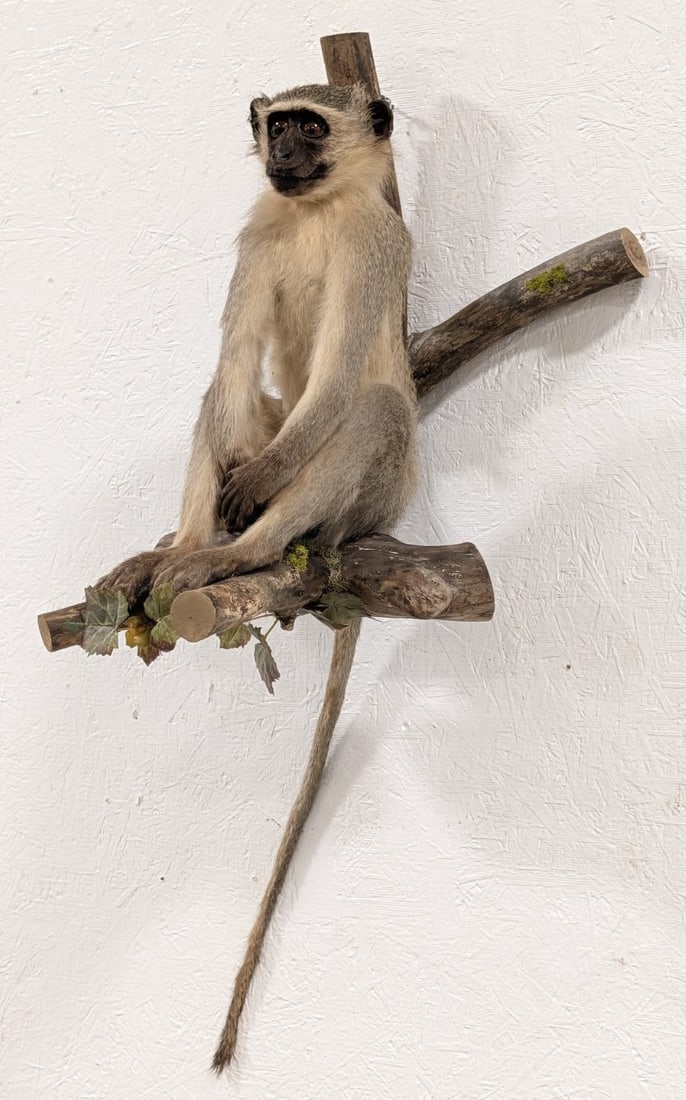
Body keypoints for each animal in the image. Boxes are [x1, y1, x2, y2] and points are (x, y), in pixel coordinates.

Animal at [97, 82, 418, 1071]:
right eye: (279, 123)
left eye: (311, 126)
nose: (282, 151)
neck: (315, 209)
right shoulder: (259, 236)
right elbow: (233, 365)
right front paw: (186, 533)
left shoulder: (375, 241)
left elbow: (340, 378)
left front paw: (257, 496)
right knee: (226, 394)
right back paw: (179, 550)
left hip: (379, 491)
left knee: (370, 407)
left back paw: (243, 552)